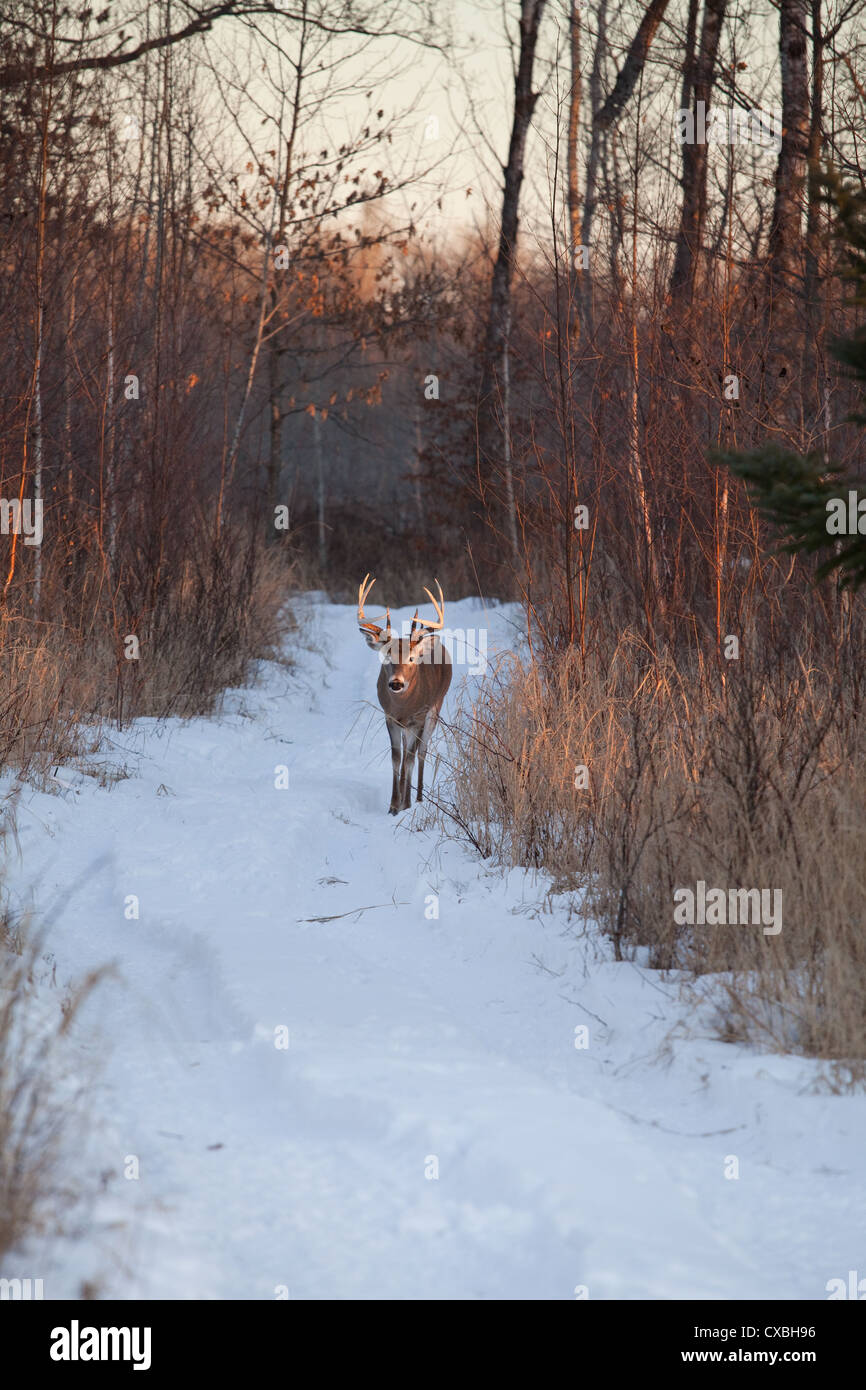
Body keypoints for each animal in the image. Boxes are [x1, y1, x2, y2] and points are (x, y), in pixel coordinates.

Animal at [357, 574, 452, 814]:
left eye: (411, 658)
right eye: (386, 655)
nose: (396, 683)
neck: (404, 706)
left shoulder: (417, 718)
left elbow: (409, 758)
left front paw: (406, 804)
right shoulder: (390, 717)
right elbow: (396, 757)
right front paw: (393, 805)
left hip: (435, 708)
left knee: (422, 751)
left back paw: (417, 798)